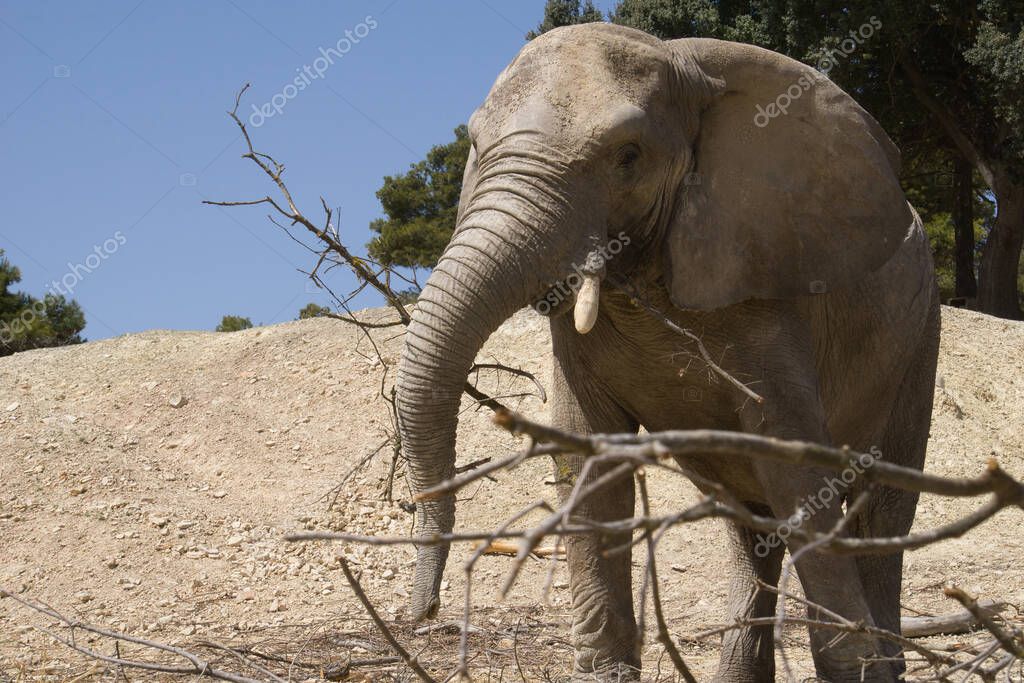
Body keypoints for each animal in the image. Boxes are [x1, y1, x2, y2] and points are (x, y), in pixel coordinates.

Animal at [395, 23, 940, 683]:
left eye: (628, 157)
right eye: (475, 144)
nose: (422, 612)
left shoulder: (766, 280)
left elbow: (794, 463)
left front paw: (854, 665)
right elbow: (590, 462)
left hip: (920, 335)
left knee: (879, 510)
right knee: (750, 523)